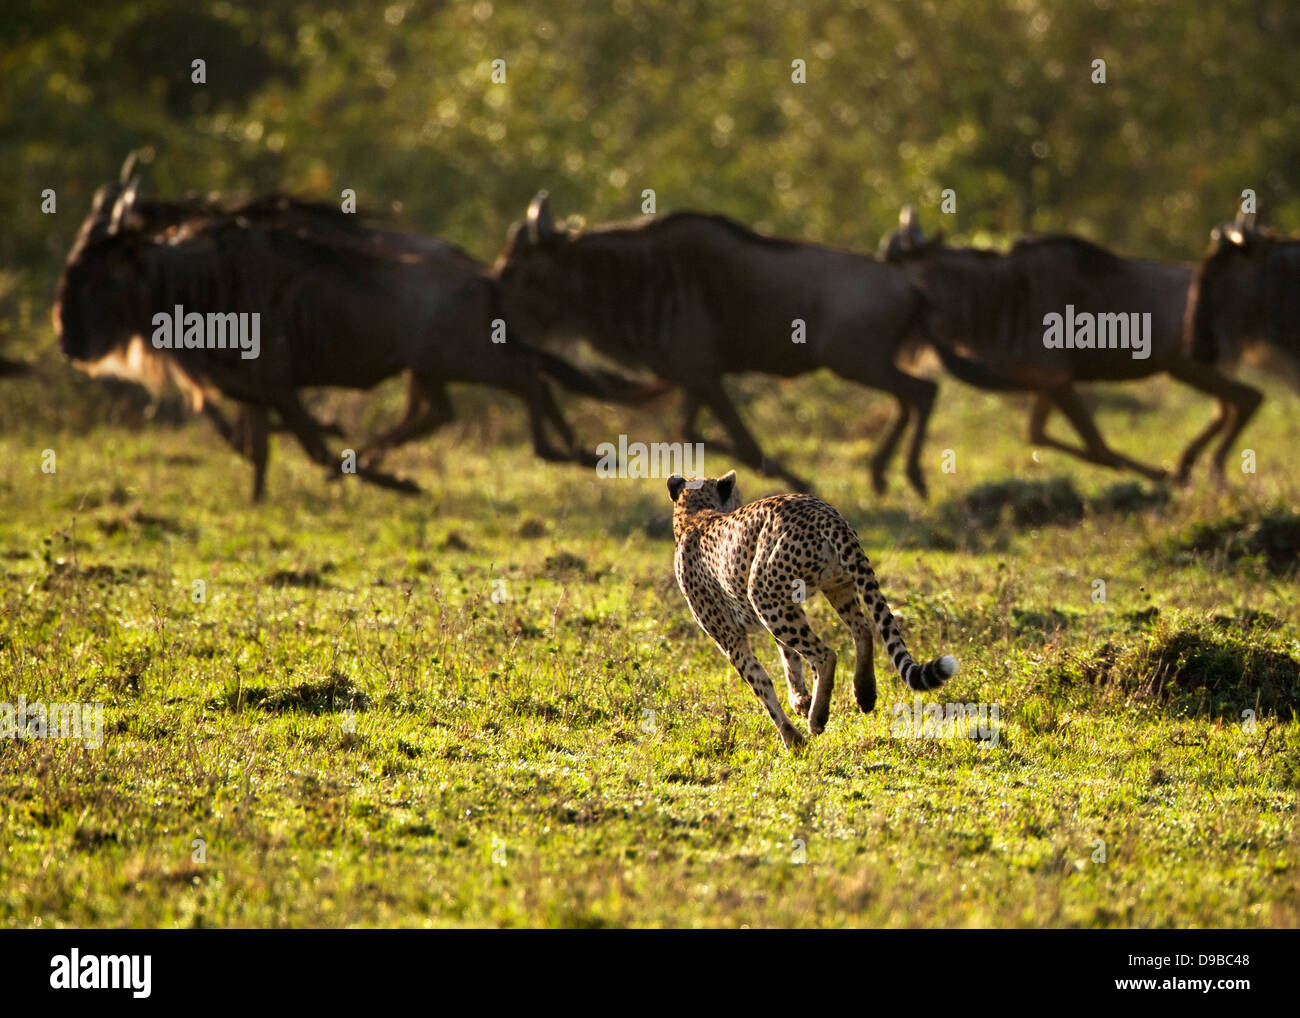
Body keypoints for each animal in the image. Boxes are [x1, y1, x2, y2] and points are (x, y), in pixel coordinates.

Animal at [667, 469, 957, 750]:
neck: (694, 514)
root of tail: (821, 511)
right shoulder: (784, 607)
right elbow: (790, 660)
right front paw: (800, 700)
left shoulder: (731, 639)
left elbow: (761, 685)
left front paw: (792, 739)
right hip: (835, 586)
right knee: (862, 630)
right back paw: (863, 693)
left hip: (764, 597)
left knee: (826, 654)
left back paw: (818, 718)